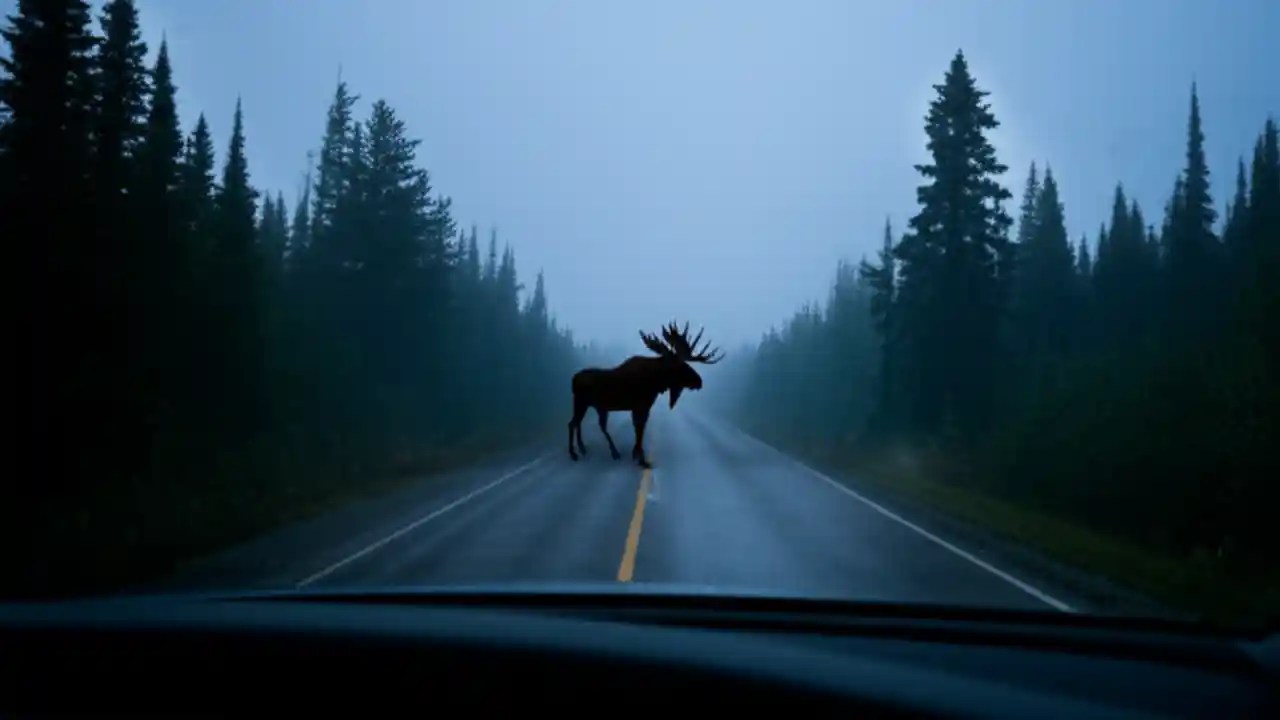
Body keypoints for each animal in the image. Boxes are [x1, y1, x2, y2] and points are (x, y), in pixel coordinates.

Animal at [568, 321, 723, 468]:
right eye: (682, 365)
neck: (655, 381)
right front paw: (640, 458)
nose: (699, 381)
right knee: (573, 423)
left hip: (593, 406)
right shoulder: (641, 406)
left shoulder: (641, 407)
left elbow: (639, 429)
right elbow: (640, 429)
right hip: (582, 402)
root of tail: (573, 379)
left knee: (582, 423)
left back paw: (587, 449)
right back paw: (574, 453)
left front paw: (637, 455)